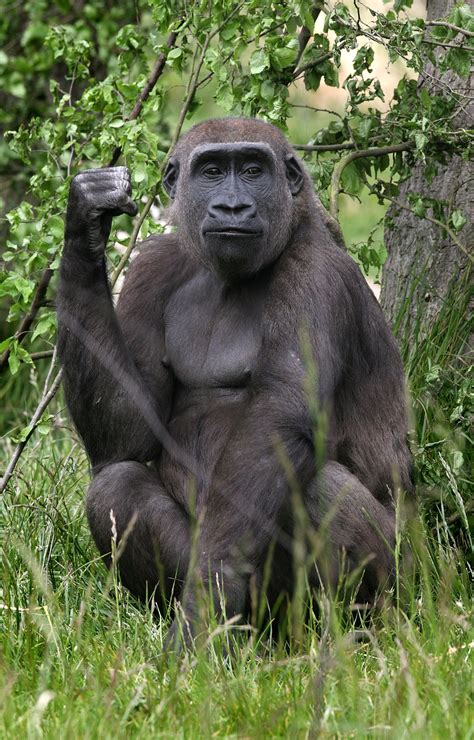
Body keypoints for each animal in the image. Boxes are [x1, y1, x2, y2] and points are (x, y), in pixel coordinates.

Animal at [57, 117, 413, 647]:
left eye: (251, 170)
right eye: (210, 172)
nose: (231, 206)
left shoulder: (317, 273)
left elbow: (279, 420)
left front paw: (206, 603)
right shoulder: (152, 264)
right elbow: (129, 435)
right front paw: (86, 220)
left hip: (398, 578)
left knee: (316, 487)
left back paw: (348, 632)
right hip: (259, 612)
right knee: (115, 485)